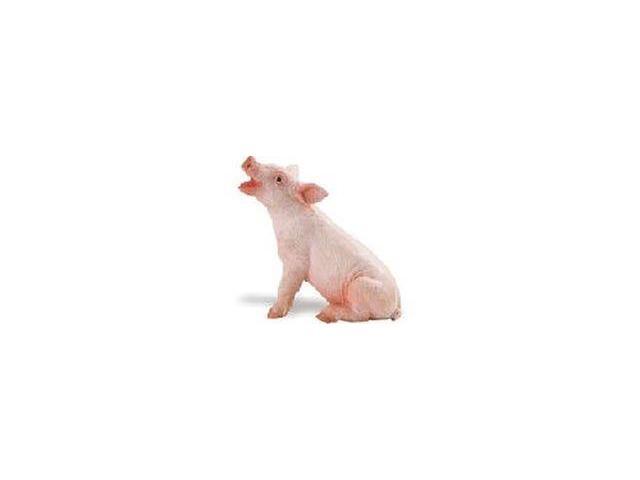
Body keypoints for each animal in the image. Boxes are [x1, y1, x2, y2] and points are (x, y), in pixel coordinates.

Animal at [239, 156, 401, 323]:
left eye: (279, 178)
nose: (250, 158)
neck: (280, 220)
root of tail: (396, 305)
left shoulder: (297, 261)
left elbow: (286, 286)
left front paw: (272, 314)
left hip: (361, 287)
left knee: (361, 315)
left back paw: (323, 315)